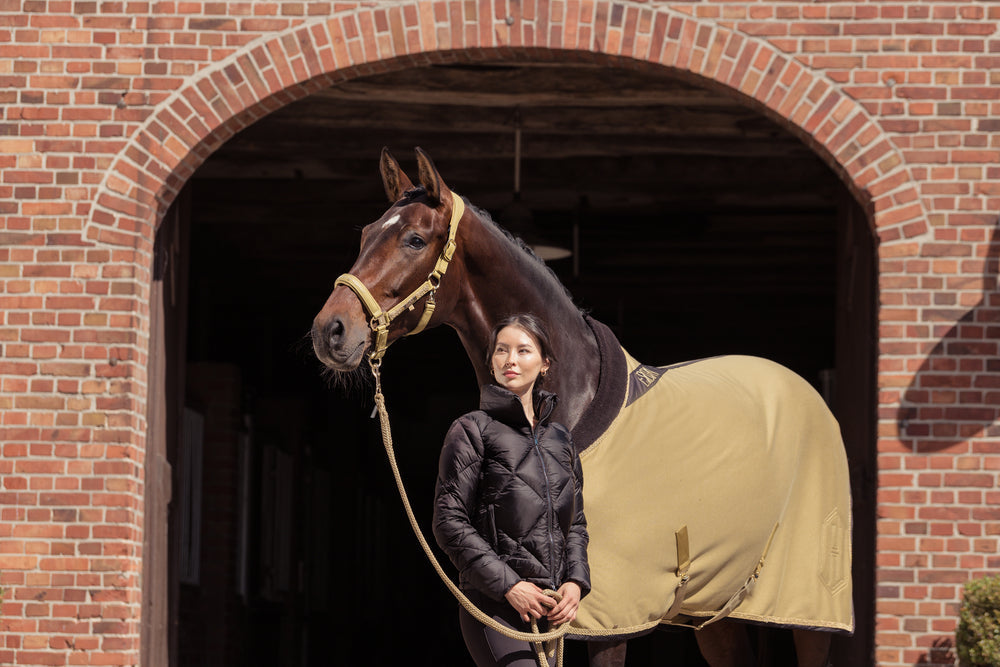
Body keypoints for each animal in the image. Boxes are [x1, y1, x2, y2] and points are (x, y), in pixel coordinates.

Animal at [311, 148, 853, 667]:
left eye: (415, 240)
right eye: (365, 234)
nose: (329, 330)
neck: (565, 400)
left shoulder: (609, 619)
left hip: (810, 612)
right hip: (716, 611)